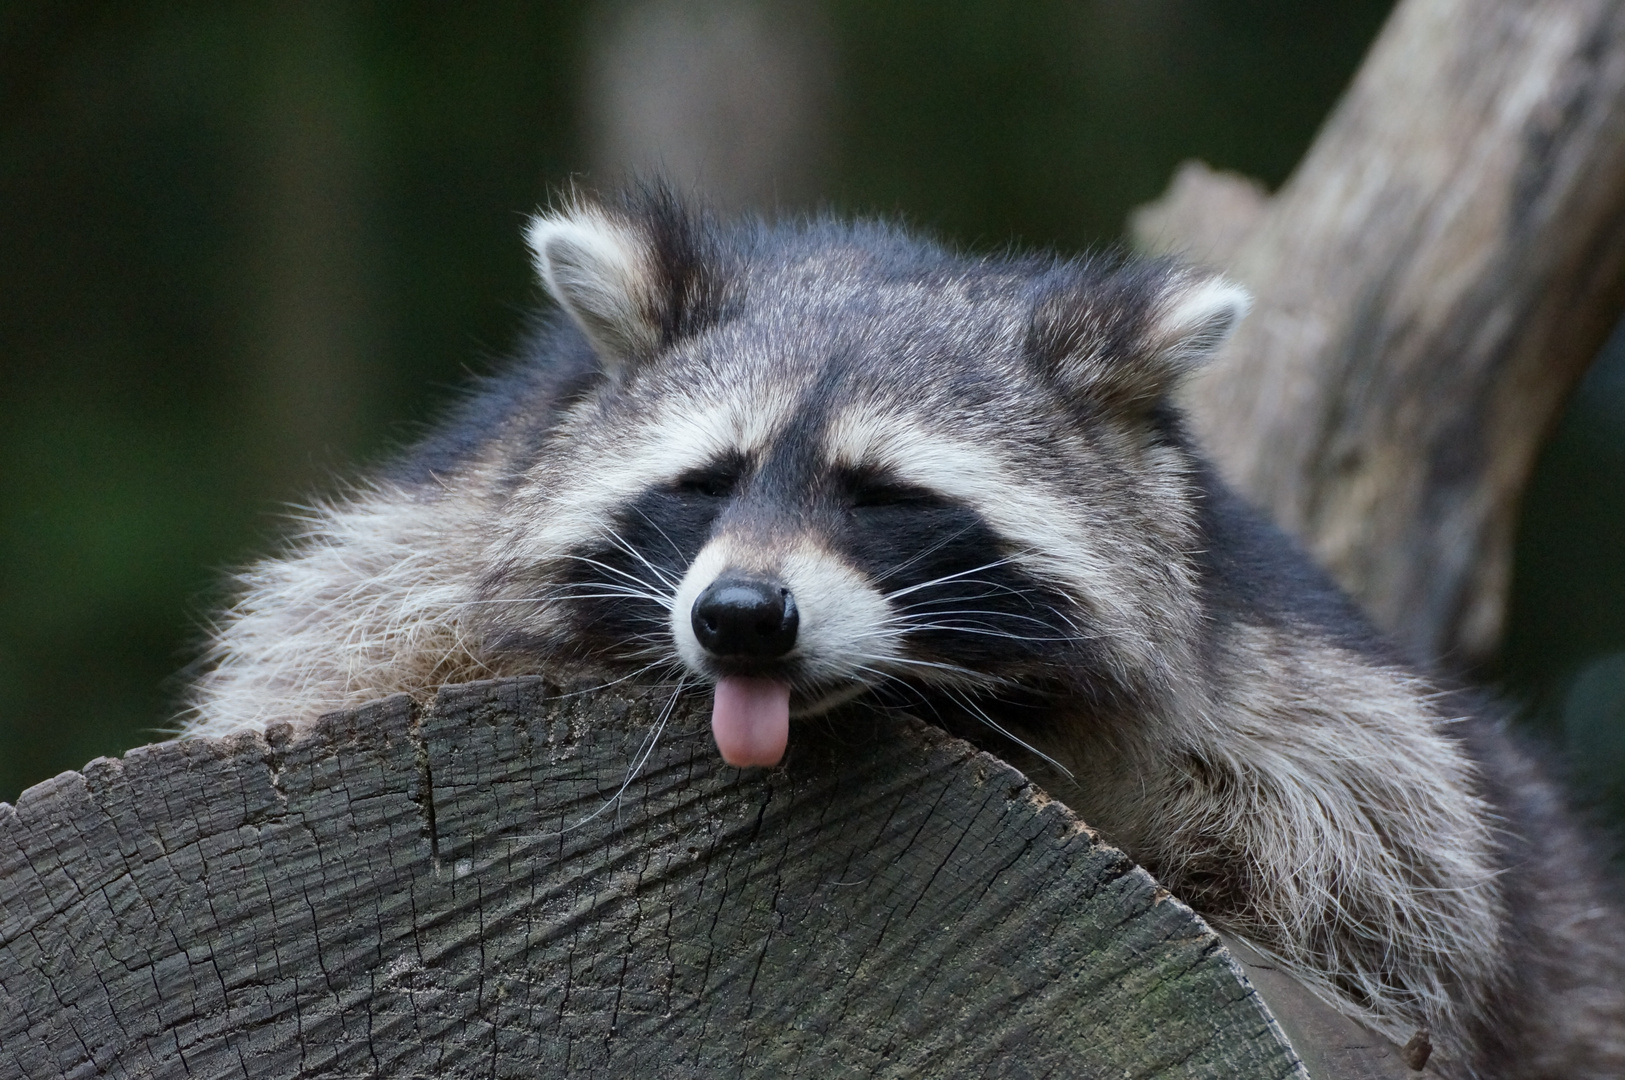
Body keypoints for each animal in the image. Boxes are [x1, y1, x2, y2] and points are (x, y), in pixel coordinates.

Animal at [181, 189, 1625, 1071]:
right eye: (709, 477)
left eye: (886, 498)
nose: (741, 619)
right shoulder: (425, 540)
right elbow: (324, 644)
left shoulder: (1306, 701)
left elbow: (1383, 857)